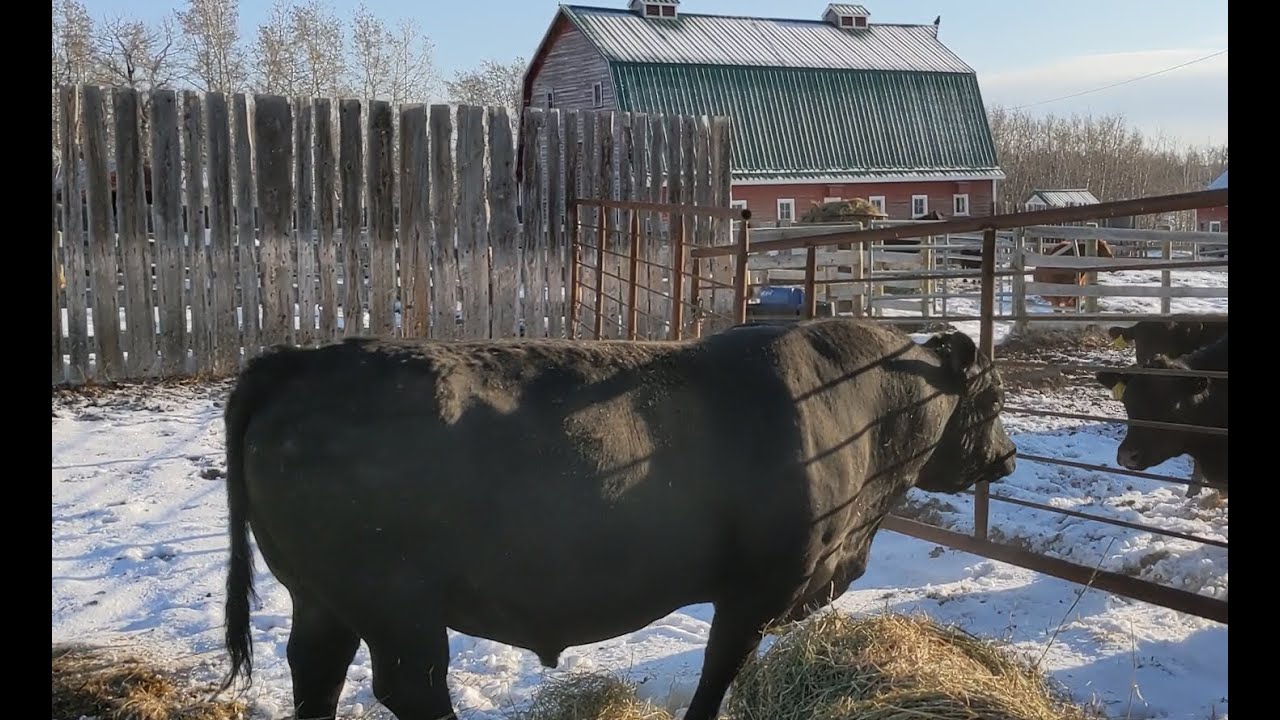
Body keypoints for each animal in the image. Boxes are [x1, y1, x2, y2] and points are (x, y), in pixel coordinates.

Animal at [218, 319, 1017, 720]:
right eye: (996, 398)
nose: (1007, 458)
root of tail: (299, 362)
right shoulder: (755, 590)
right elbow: (717, 678)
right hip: (397, 605)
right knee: (410, 685)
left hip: (322, 599)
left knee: (316, 674)